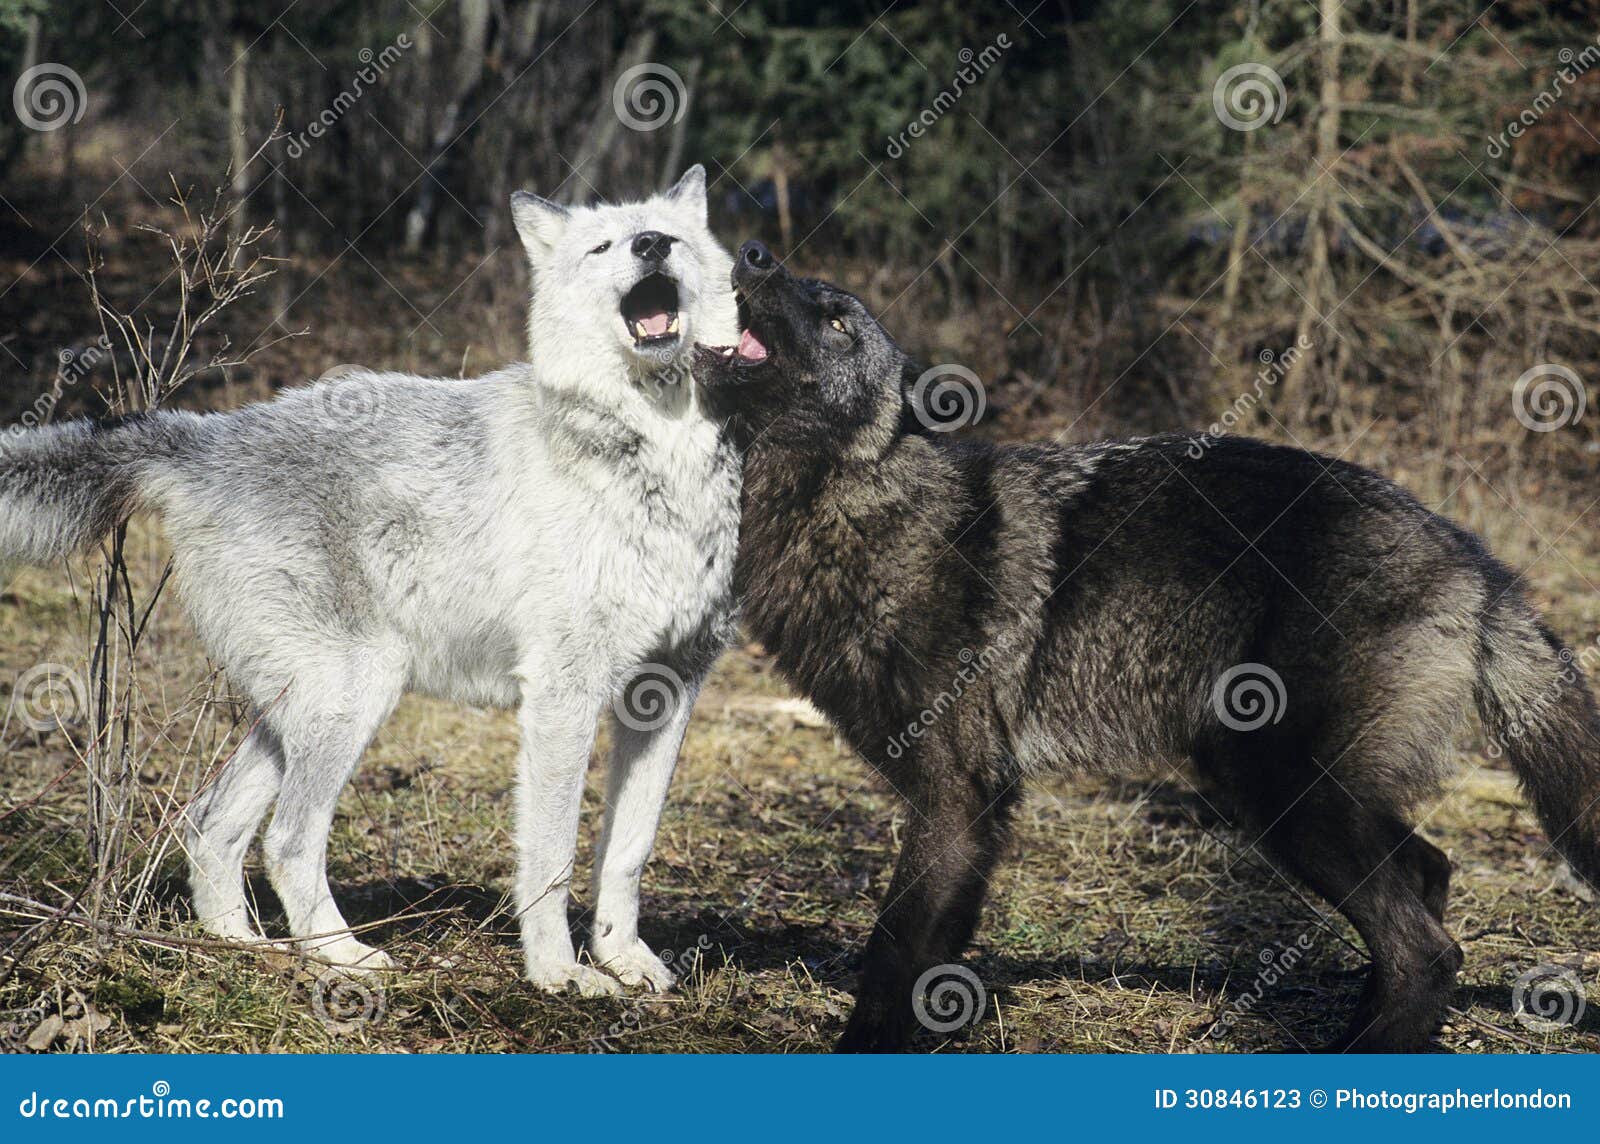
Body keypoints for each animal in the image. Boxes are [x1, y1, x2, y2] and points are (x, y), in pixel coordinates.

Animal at [0, 167, 740, 995]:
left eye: (665, 237)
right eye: (604, 246)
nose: (649, 246)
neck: (656, 449)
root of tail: (206, 434)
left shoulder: (667, 690)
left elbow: (627, 852)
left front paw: (625, 961)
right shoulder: (563, 693)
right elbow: (549, 856)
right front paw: (558, 974)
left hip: (301, 710)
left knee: (210, 822)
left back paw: (243, 947)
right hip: (359, 690)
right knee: (288, 838)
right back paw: (341, 955)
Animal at [694, 240, 1600, 1052]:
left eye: (837, 319)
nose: (754, 253)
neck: (854, 501)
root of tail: (1475, 560)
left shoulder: (959, 796)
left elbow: (891, 956)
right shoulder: (968, 812)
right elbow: (931, 957)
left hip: (1281, 792)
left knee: (1428, 947)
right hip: (1303, 792)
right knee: (1431, 875)